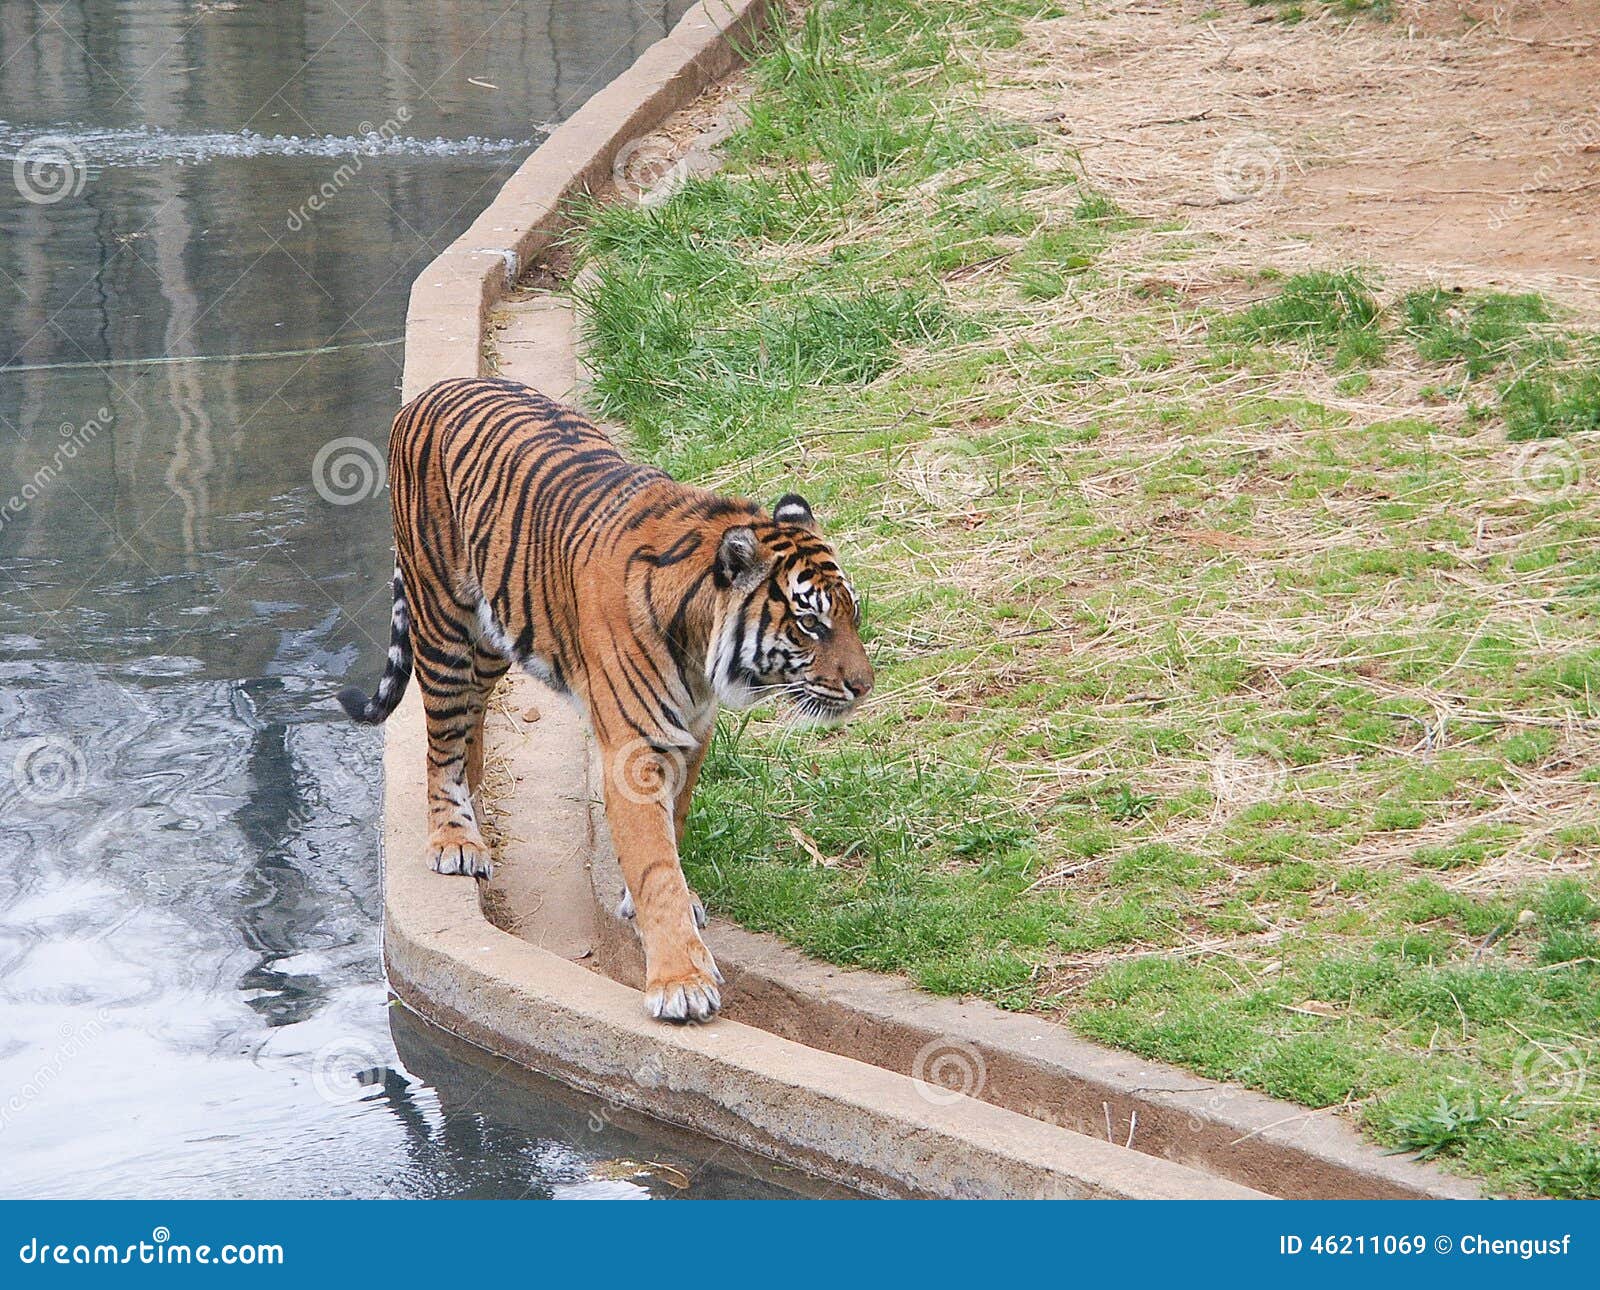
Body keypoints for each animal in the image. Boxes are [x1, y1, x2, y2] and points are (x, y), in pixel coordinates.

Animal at [338, 376, 873, 1023]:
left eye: (851, 614)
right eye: (810, 623)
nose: (864, 685)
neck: (701, 650)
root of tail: (433, 390)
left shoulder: (694, 731)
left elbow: (674, 823)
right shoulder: (634, 748)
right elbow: (654, 860)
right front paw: (682, 982)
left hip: (495, 637)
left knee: (471, 721)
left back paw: (478, 807)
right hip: (443, 624)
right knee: (441, 737)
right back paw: (456, 839)